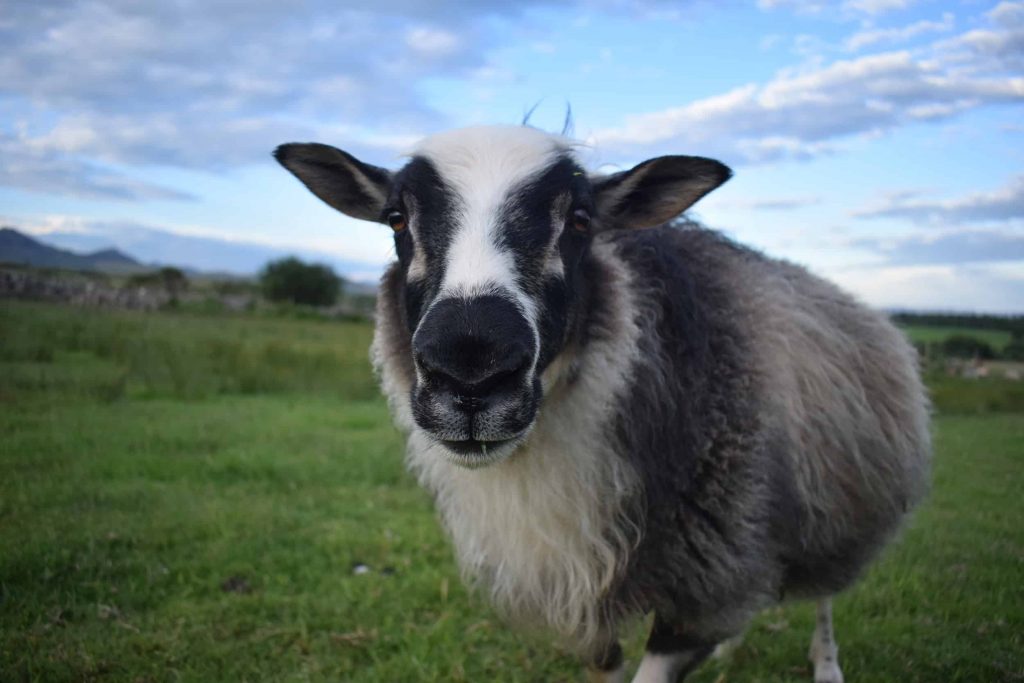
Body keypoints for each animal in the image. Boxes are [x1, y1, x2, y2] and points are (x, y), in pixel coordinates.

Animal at [274, 124, 931, 683]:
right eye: (395, 218)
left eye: (582, 219)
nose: (471, 370)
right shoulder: (584, 585)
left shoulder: (700, 586)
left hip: (836, 510)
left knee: (824, 596)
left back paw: (827, 665)